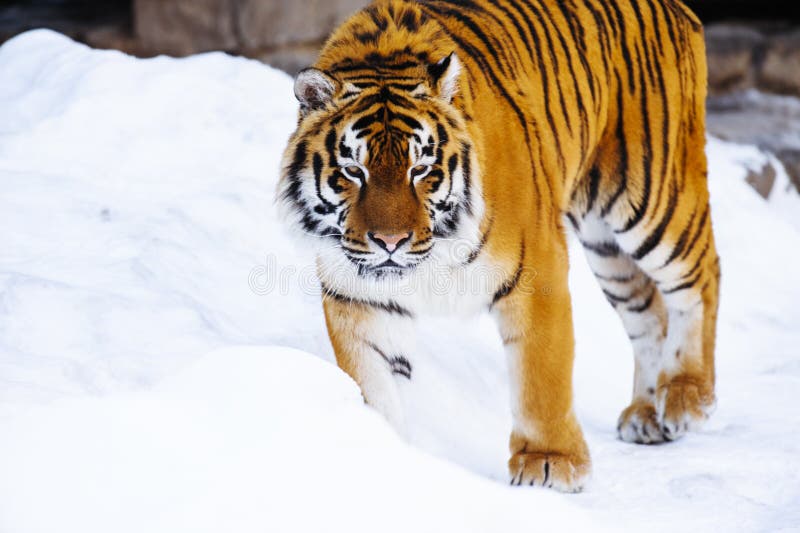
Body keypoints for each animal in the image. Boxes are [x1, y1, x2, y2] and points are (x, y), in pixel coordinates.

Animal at [277, 0, 719, 492]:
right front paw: (382, 453)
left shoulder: (537, 271)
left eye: (420, 169)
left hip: (651, 197)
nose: (390, 241)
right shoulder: (359, 299)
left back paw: (686, 396)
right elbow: (373, 383)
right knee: (649, 312)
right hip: (606, 244)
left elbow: (542, 377)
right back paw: (646, 415)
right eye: (354, 171)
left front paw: (550, 463)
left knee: (702, 275)